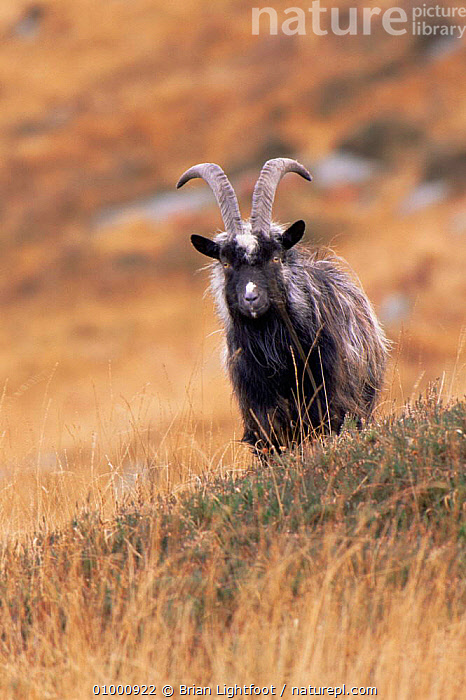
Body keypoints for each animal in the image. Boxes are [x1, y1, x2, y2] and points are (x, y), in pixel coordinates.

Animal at [177, 158, 389, 453]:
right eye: (226, 263)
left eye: (275, 257)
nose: (251, 298)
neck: (276, 355)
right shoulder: (262, 422)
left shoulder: (331, 406)